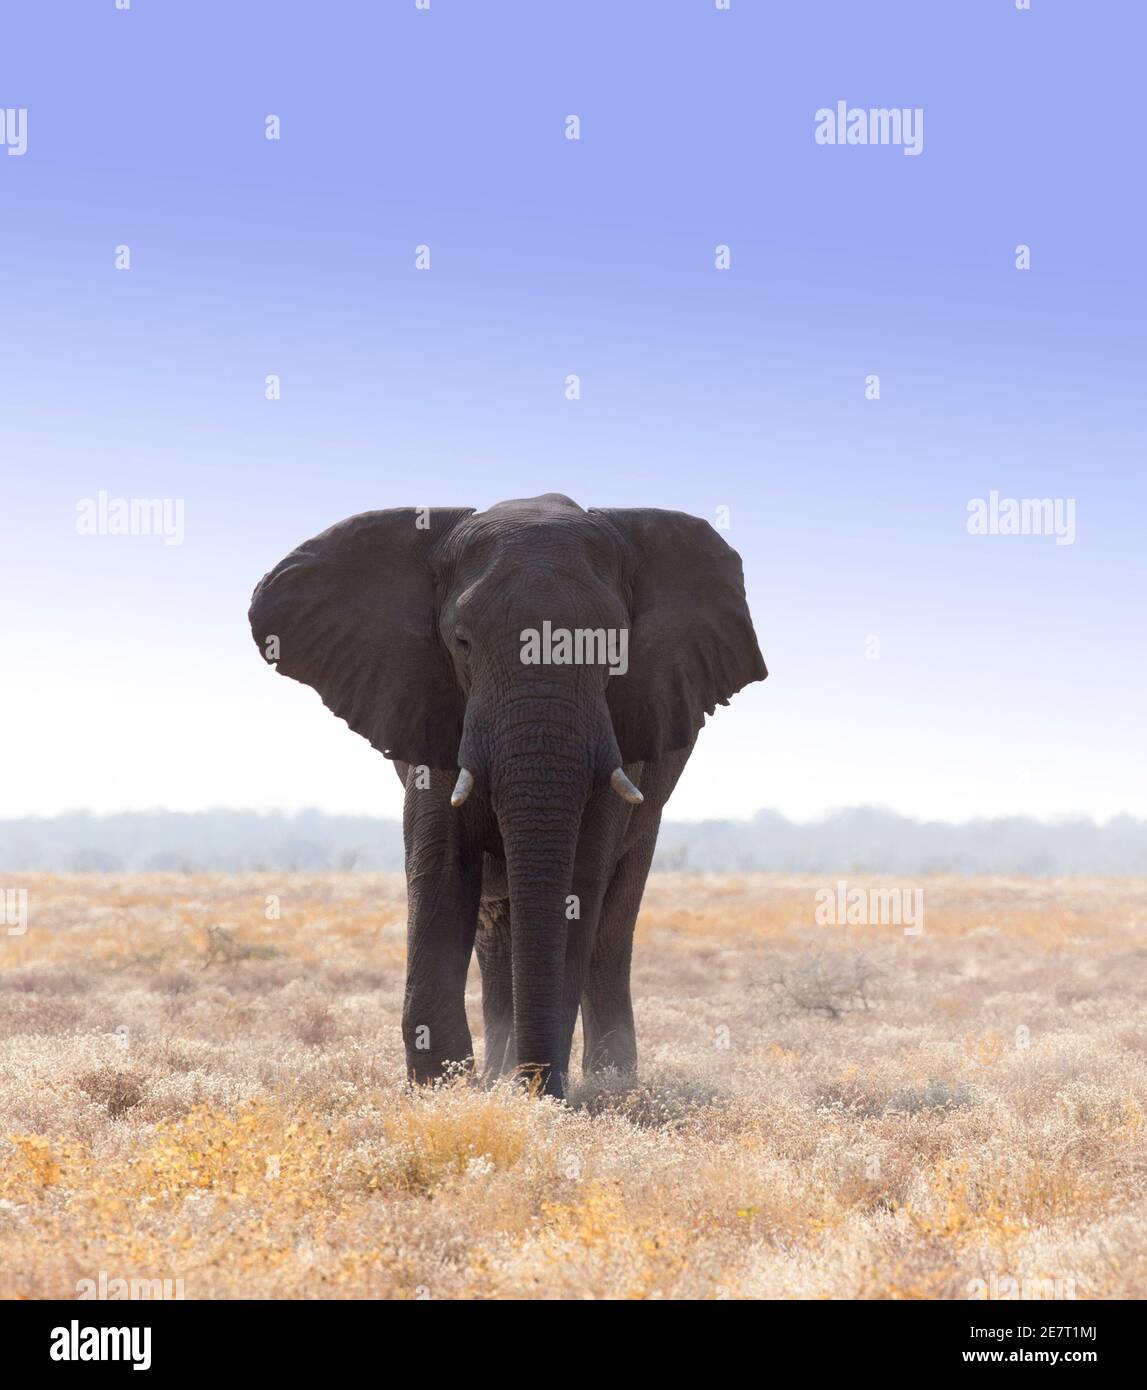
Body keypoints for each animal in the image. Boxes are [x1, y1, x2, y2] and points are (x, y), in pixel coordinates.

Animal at [249, 493, 766, 1099]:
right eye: (462, 642)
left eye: (614, 648)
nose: (541, 1084)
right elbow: (442, 868)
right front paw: (443, 1092)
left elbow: (579, 884)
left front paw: (541, 1096)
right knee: (496, 927)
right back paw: (501, 1075)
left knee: (613, 926)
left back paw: (609, 1084)